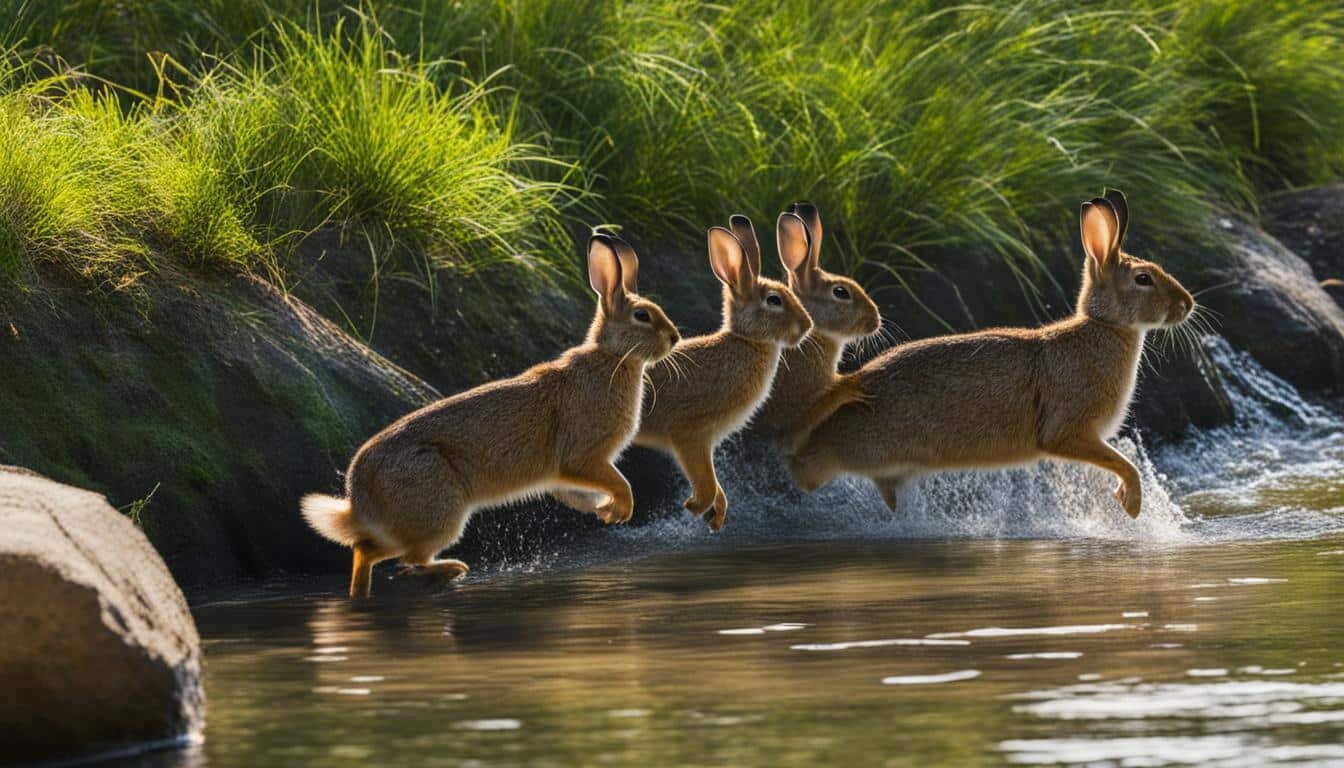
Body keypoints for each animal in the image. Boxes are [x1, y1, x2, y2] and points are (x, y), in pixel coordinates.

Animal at [301, 234, 679, 598]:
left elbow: (578, 495)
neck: (614, 357)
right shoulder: (583, 457)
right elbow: (618, 481)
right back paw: (451, 569)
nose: (674, 338)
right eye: (642, 316)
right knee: (393, 555)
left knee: (368, 550)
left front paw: (606, 511)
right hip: (439, 512)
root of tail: (358, 498)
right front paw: (622, 509)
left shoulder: (564, 475)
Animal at [632, 216, 813, 531]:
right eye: (774, 300)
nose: (807, 326)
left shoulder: (705, 445)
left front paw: (716, 516)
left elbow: (713, 481)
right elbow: (704, 481)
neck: (747, 341)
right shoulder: (691, 434)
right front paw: (694, 506)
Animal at [788, 190, 1194, 518]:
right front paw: (1132, 505)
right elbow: (1124, 463)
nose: (1187, 304)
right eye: (1143, 279)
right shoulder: (1068, 431)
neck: (1105, 326)